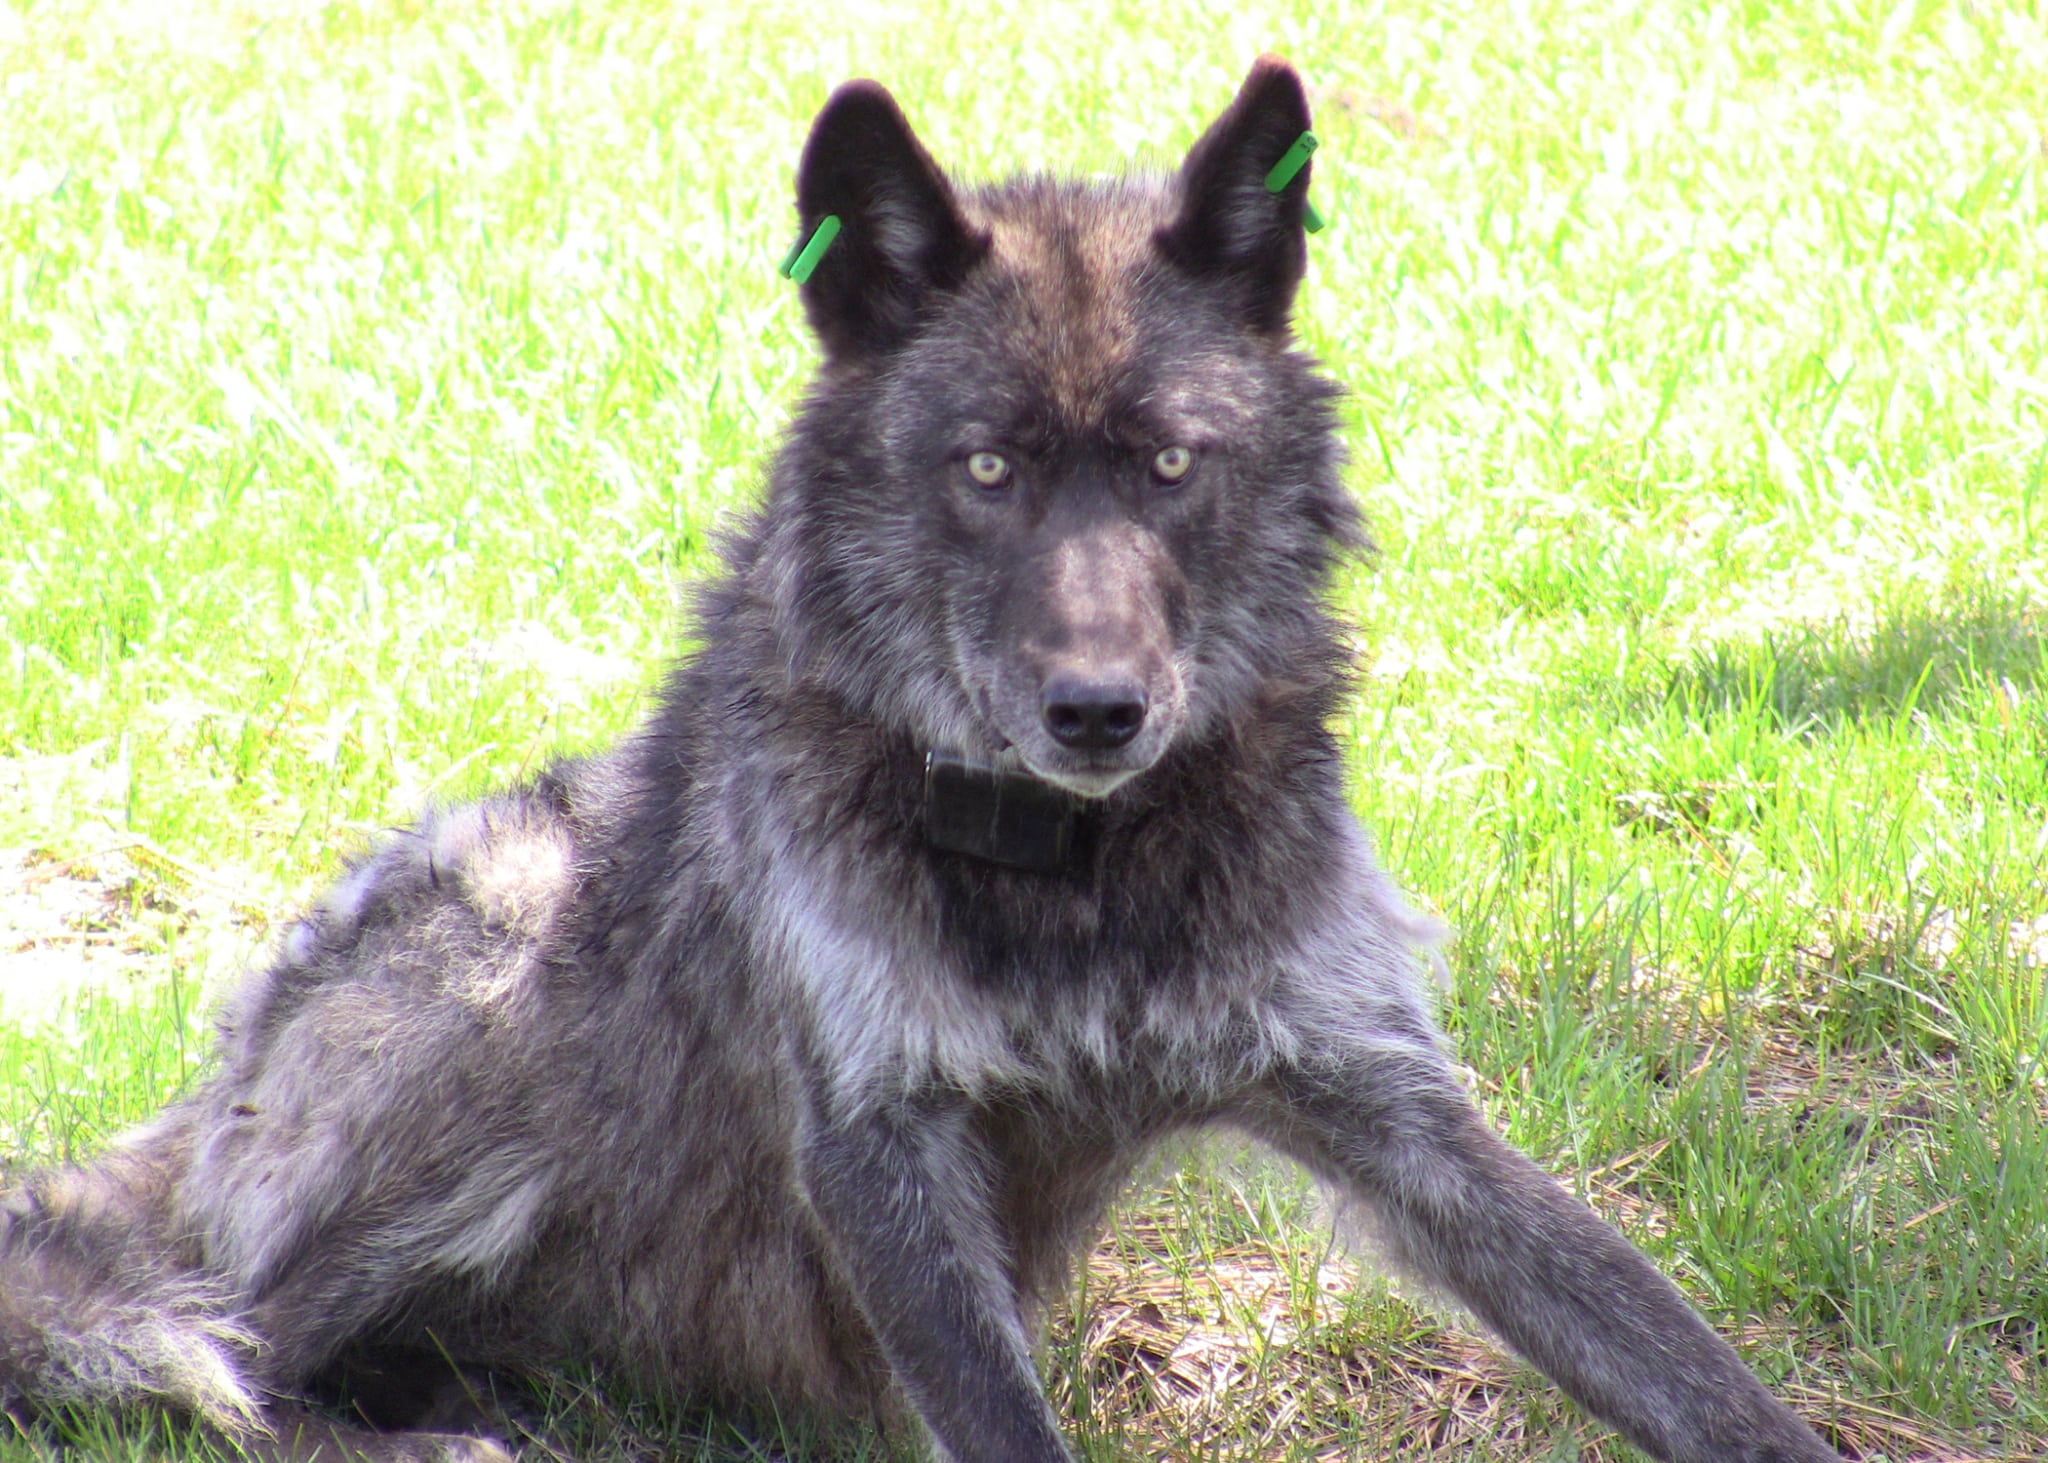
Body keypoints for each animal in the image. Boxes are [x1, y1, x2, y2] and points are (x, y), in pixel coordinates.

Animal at [0, 58, 1843, 1463]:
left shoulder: (1386, 1102)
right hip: (502, 983)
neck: (1075, 876)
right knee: (204, 1339)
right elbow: (1001, 1418)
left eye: (1169, 464)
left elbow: (1666, 1344)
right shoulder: (880, 1142)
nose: (1097, 714)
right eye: (987, 468)